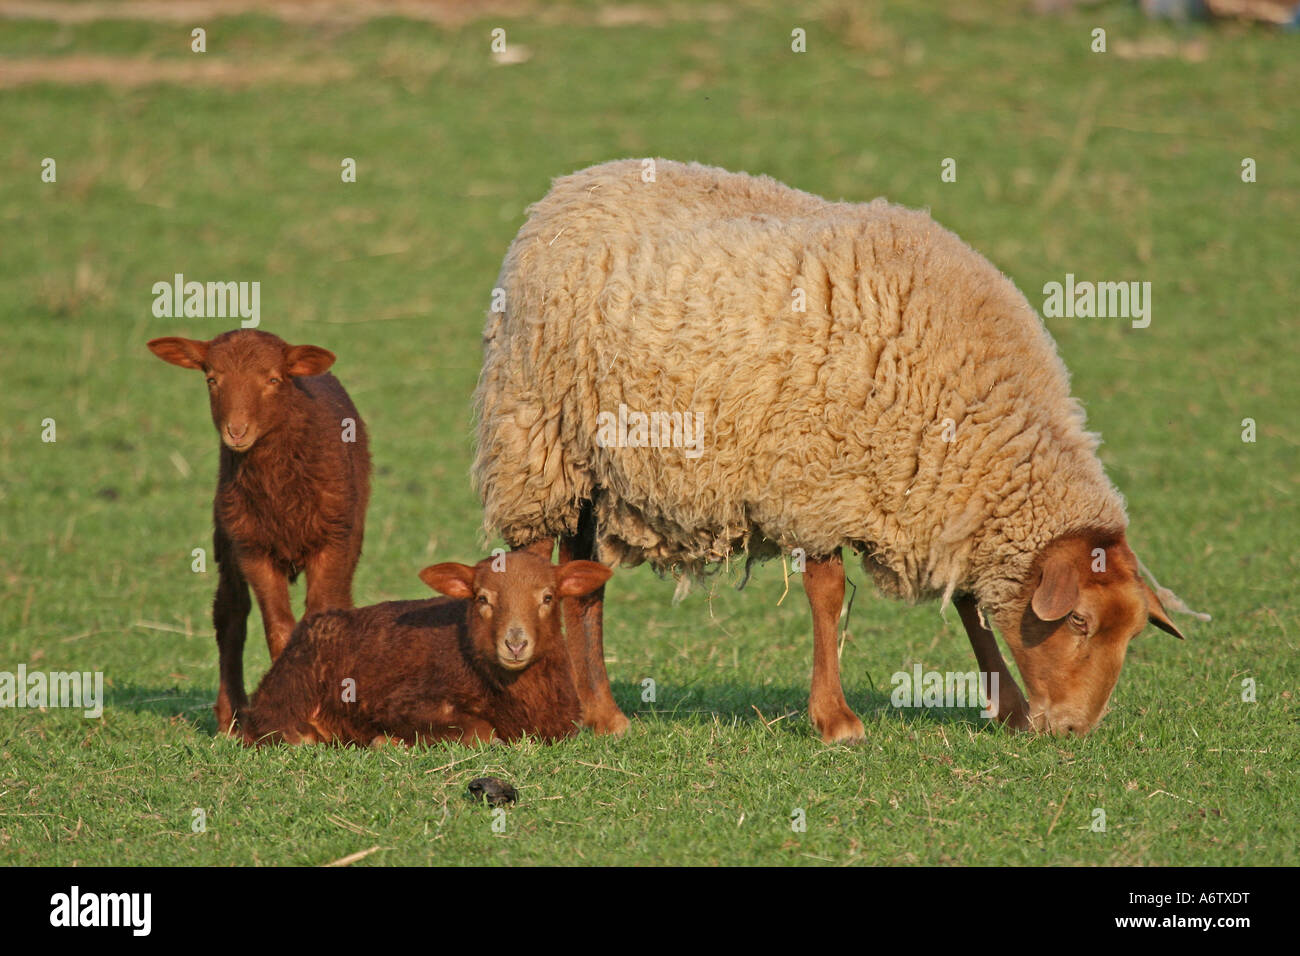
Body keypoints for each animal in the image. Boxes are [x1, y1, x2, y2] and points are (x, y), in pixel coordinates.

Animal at [147, 328, 370, 732]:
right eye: (211, 379)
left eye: (273, 380)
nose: (236, 432)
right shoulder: (253, 549)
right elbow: (279, 628)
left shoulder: (331, 543)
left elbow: (319, 616)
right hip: (227, 538)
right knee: (230, 615)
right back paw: (229, 715)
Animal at [236, 551, 612, 747]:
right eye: (482, 598)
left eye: (548, 597)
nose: (515, 643)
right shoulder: (401, 704)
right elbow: (482, 731)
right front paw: (387, 741)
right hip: (288, 698)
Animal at [473, 158, 1204, 743]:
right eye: (1078, 621)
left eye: (1132, 634)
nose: (1074, 730)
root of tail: (571, 186)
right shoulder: (814, 480)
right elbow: (827, 597)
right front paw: (837, 721)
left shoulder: (946, 498)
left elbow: (970, 606)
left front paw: (1012, 710)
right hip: (537, 440)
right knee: (535, 563)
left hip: (596, 473)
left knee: (581, 584)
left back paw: (601, 715)